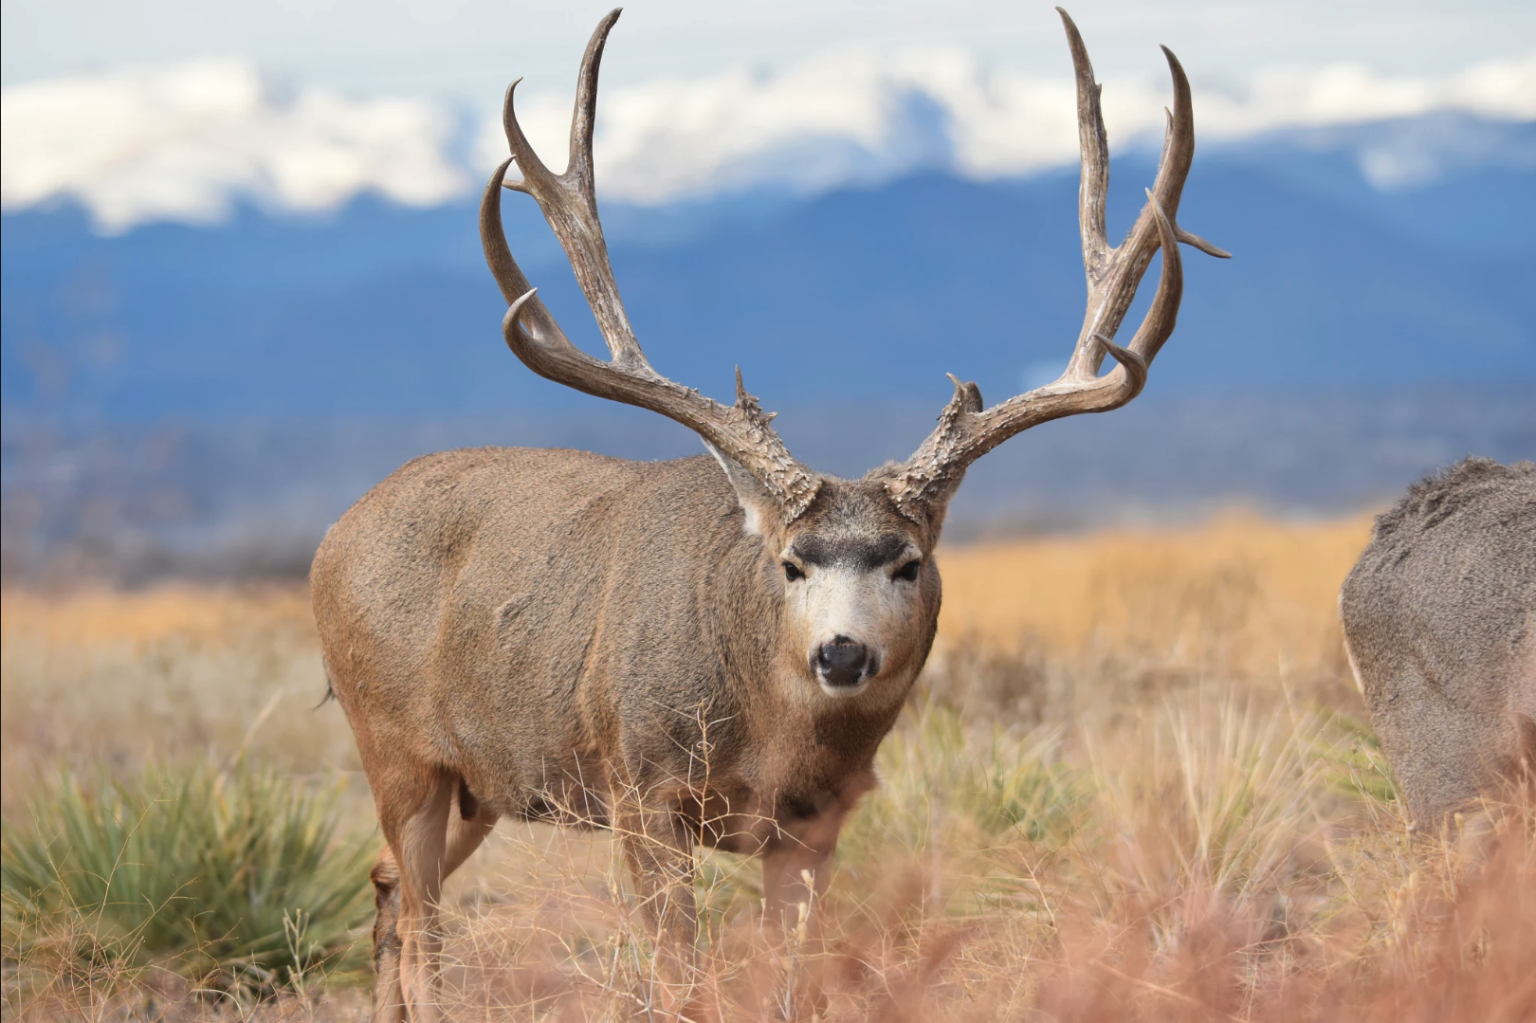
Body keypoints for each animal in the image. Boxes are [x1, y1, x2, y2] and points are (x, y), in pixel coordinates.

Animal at [309, 7, 1229, 1019]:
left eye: (907, 560)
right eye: (793, 561)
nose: (844, 653)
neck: (770, 732)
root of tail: (336, 534)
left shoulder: (815, 823)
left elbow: (792, 977)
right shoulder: (643, 793)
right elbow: (679, 976)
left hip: (483, 780)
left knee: (386, 885)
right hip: (398, 747)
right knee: (422, 919)